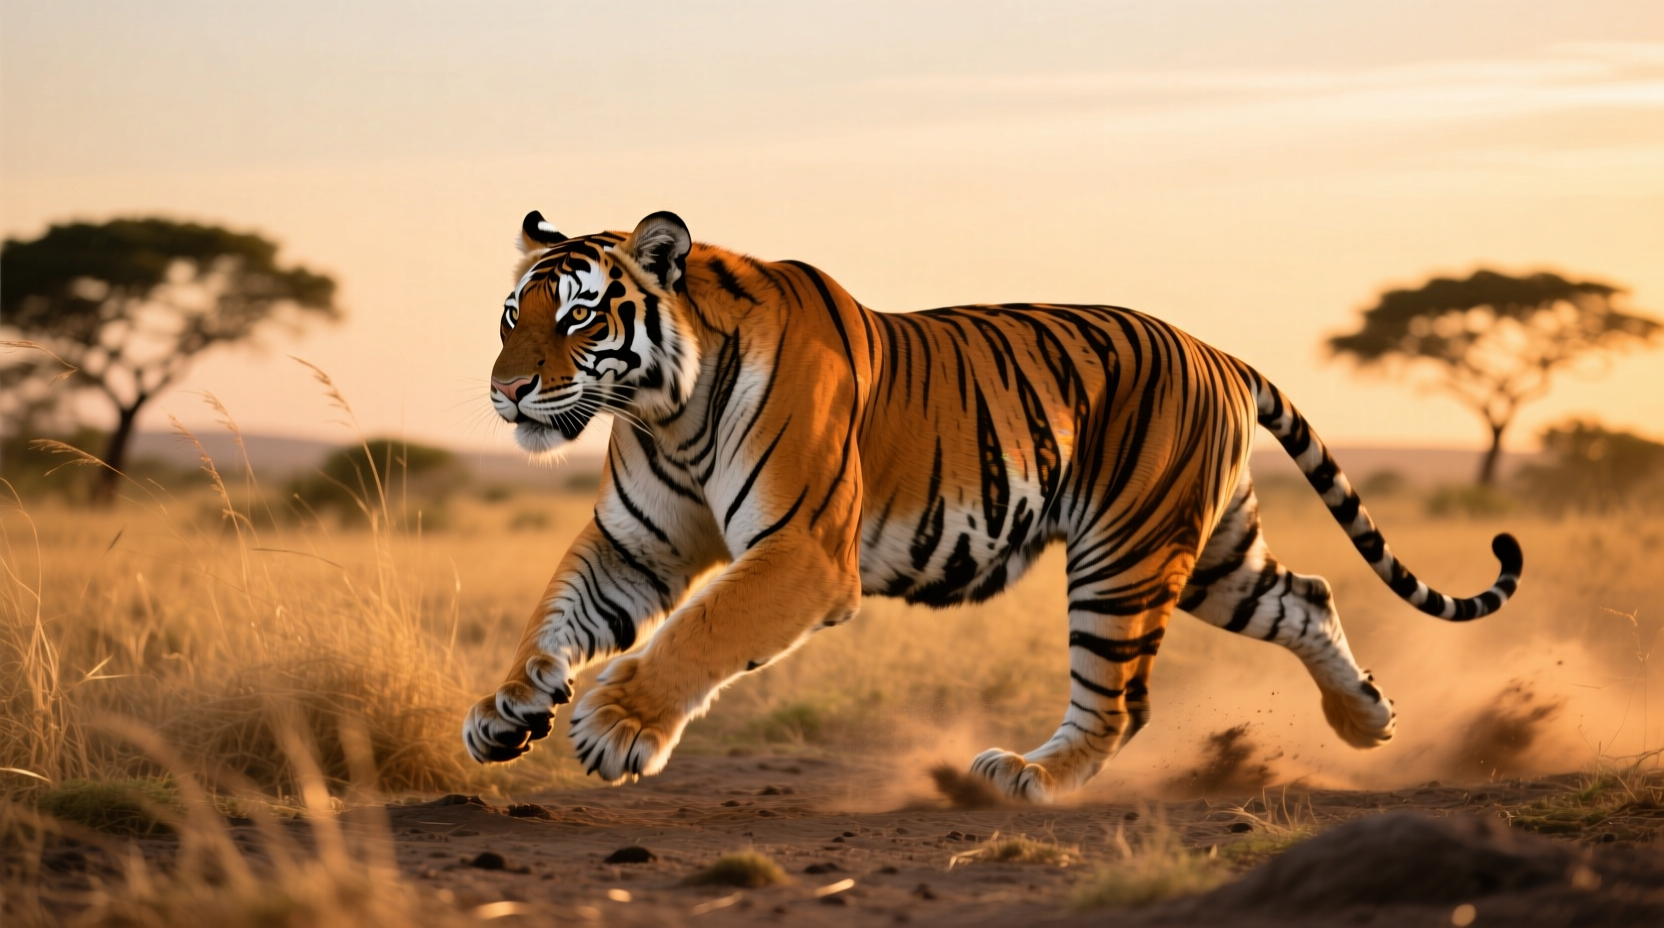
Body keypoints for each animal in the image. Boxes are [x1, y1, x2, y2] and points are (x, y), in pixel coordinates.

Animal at [463, 209, 1523, 802]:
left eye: (580, 317)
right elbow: (555, 613)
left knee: (1121, 700)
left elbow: (704, 630)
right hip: (1211, 554)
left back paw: (1029, 777)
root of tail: (1219, 351)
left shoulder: (803, 552)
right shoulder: (634, 544)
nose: (505, 392)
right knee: (1306, 595)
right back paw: (1368, 720)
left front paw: (616, 725)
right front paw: (505, 708)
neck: (663, 411)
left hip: (1124, 553)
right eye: (513, 317)